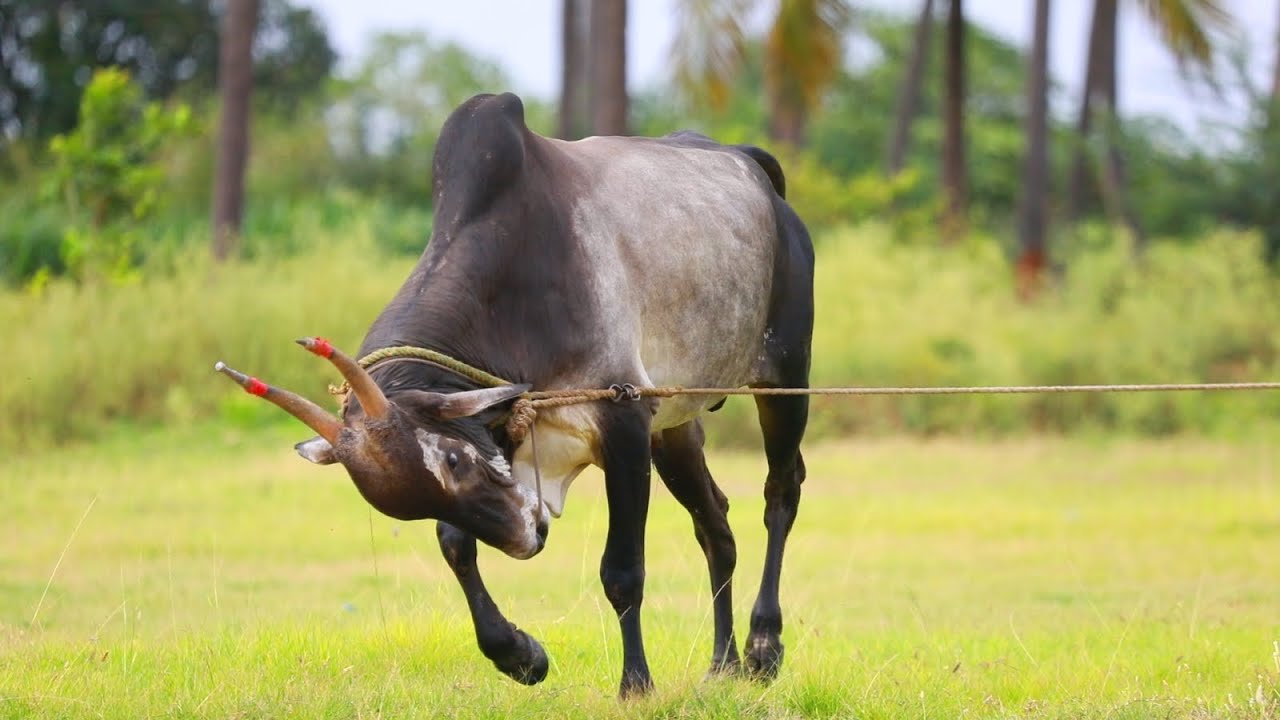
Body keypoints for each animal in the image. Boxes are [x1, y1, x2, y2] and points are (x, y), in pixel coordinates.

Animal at [214, 92, 814, 696]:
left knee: (781, 492)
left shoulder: (622, 419)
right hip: (674, 426)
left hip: (784, 377)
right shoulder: (507, 435)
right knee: (716, 526)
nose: (528, 540)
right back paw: (723, 666)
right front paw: (521, 655)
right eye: (425, 492)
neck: (513, 289)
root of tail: (752, 166)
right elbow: (456, 546)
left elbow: (622, 570)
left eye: (455, 460)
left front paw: (635, 685)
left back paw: (763, 647)